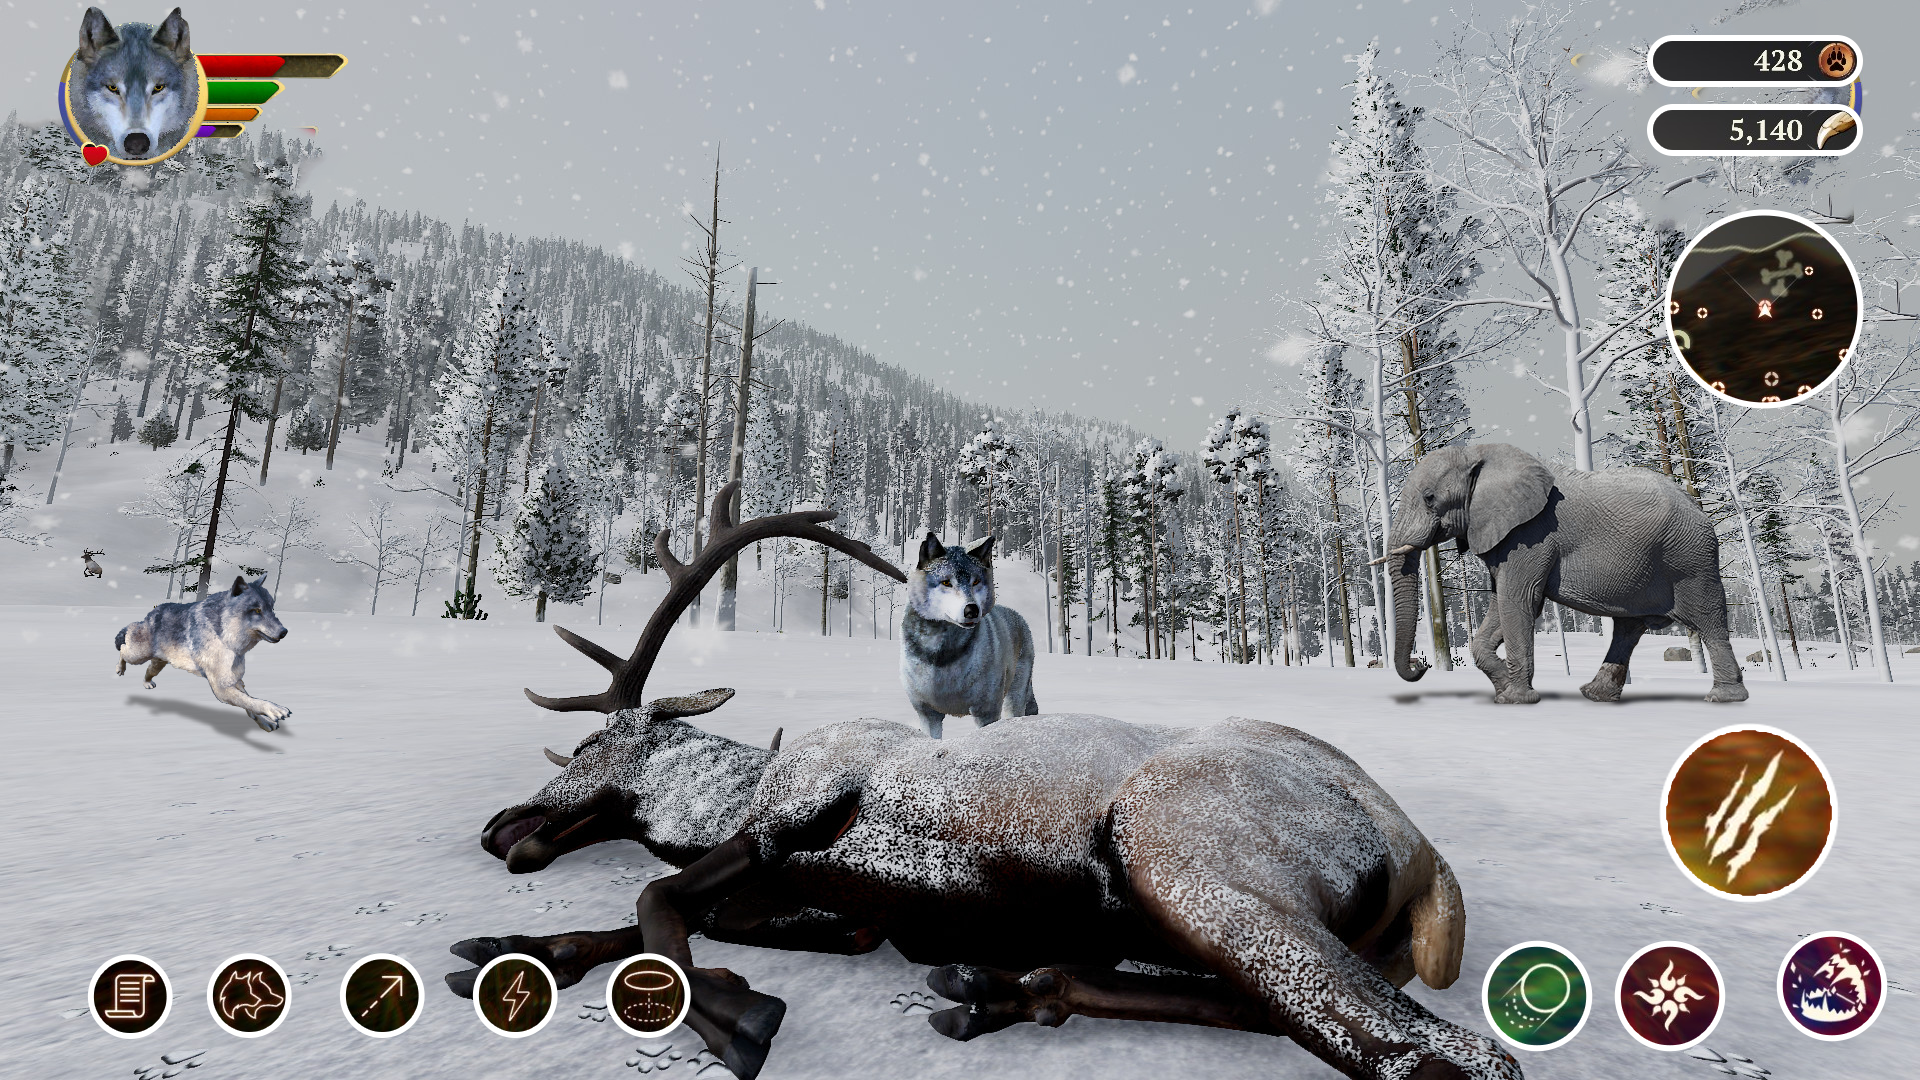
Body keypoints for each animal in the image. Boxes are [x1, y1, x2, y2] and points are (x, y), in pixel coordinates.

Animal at [115, 576, 292, 731]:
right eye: (256, 610)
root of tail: (151, 613)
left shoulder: (235, 680)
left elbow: (250, 704)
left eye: (272, 608)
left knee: (147, 671)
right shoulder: (220, 688)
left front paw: (264, 722)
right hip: (137, 655)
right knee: (125, 641)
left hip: (157, 664)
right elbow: (251, 702)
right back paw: (119, 668)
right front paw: (273, 709)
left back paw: (147, 683)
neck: (225, 637)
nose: (284, 632)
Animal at [901, 534, 1038, 739]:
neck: (941, 656)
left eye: (975, 582)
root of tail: (1018, 616)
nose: (972, 610)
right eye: (946, 582)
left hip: (1014, 700)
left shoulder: (986, 712)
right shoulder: (928, 714)